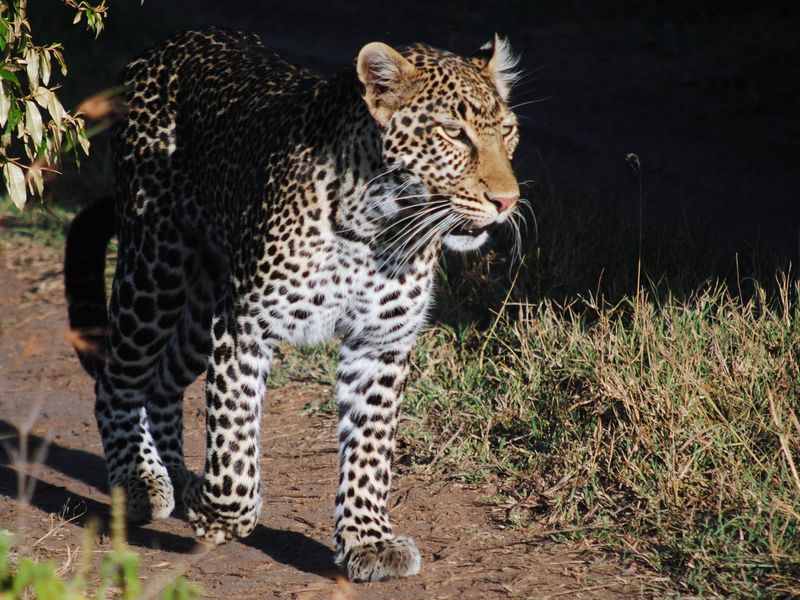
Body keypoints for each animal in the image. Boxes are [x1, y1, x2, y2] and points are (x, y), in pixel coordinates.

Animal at [64, 27, 522, 582]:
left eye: (508, 130)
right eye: (454, 134)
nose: (507, 201)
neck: (377, 227)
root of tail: (166, 44)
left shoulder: (380, 342)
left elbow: (370, 447)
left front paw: (368, 539)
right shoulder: (243, 325)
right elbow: (234, 442)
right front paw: (219, 516)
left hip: (199, 304)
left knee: (163, 382)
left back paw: (176, 475)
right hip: (156, 270)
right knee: (119, 379)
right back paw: (141, 481)